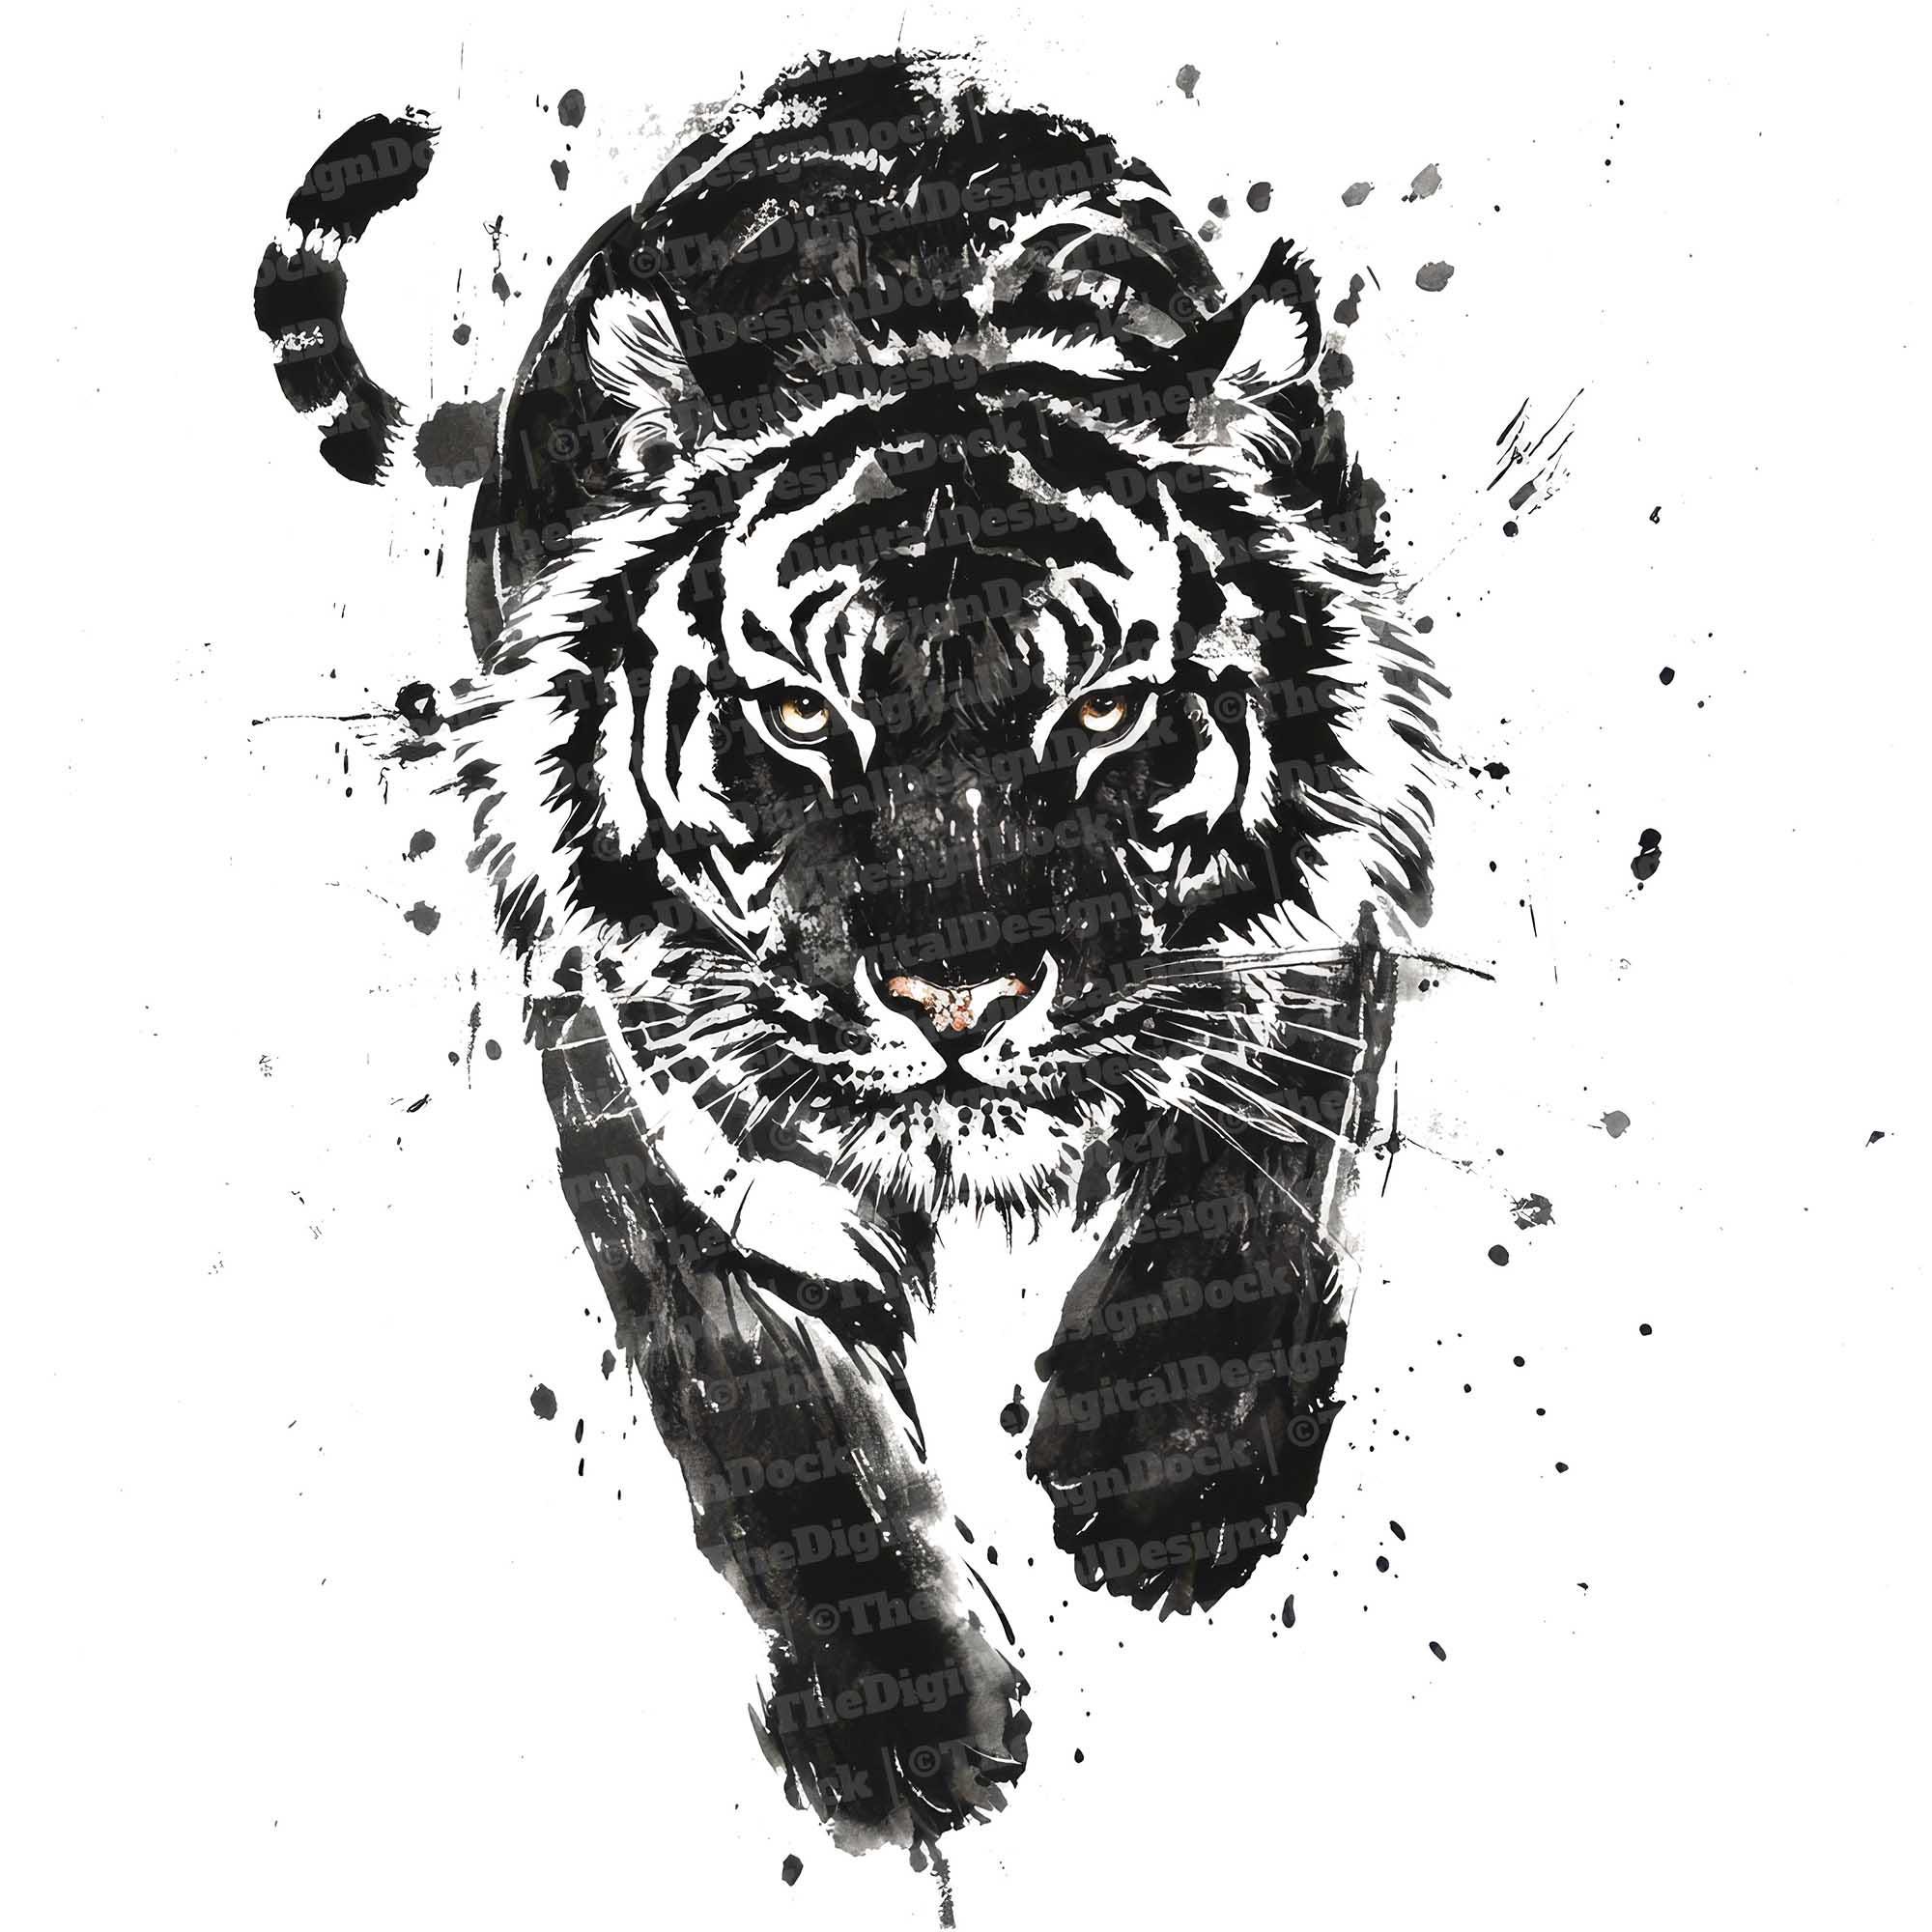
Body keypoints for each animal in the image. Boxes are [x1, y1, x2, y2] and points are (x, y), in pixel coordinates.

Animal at [258, 48, 1441, 1860]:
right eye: (805, 715)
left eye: (1106, 708)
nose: (959, 989)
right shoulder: (664, 1112)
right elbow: (780, 1426)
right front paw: (901, 1742)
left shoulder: (1326, 928)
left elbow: (1252, 1200)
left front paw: (1166, 1498)